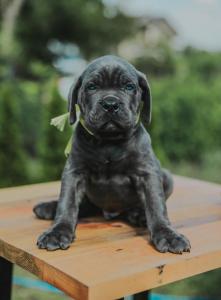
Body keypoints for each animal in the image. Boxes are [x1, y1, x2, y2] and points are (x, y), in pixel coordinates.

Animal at [33, 55, 191, 253]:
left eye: (129, 86)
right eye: (92, 87)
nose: (110, 104)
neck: (108, 141)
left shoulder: (147, 172)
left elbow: (156, 204)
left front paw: (167, 234)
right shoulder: (74, 172)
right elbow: (67, 202)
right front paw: (57, 231)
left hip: (167, 176)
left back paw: (139, 214)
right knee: (83, 206)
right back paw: (49, 207)